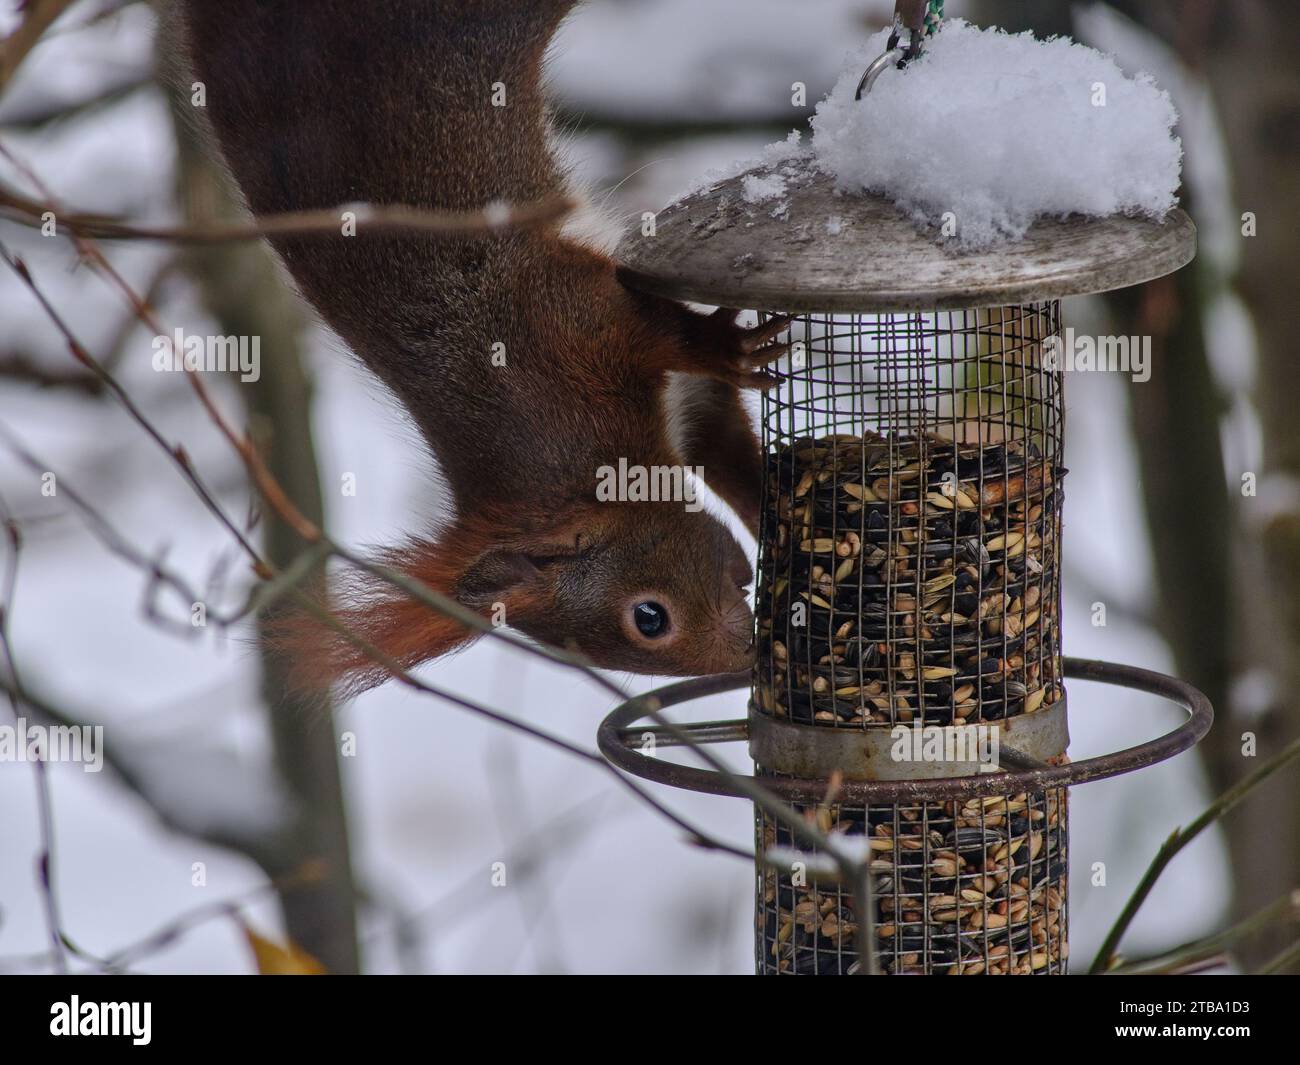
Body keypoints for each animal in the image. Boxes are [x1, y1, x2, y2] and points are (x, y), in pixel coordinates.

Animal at [174, 1, 791, 693]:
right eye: (650, 621)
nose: (743, 656)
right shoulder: (674, 403)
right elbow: (724, 448)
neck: (561, 453)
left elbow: (663, 340)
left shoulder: (561, 320)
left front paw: (727, 349)